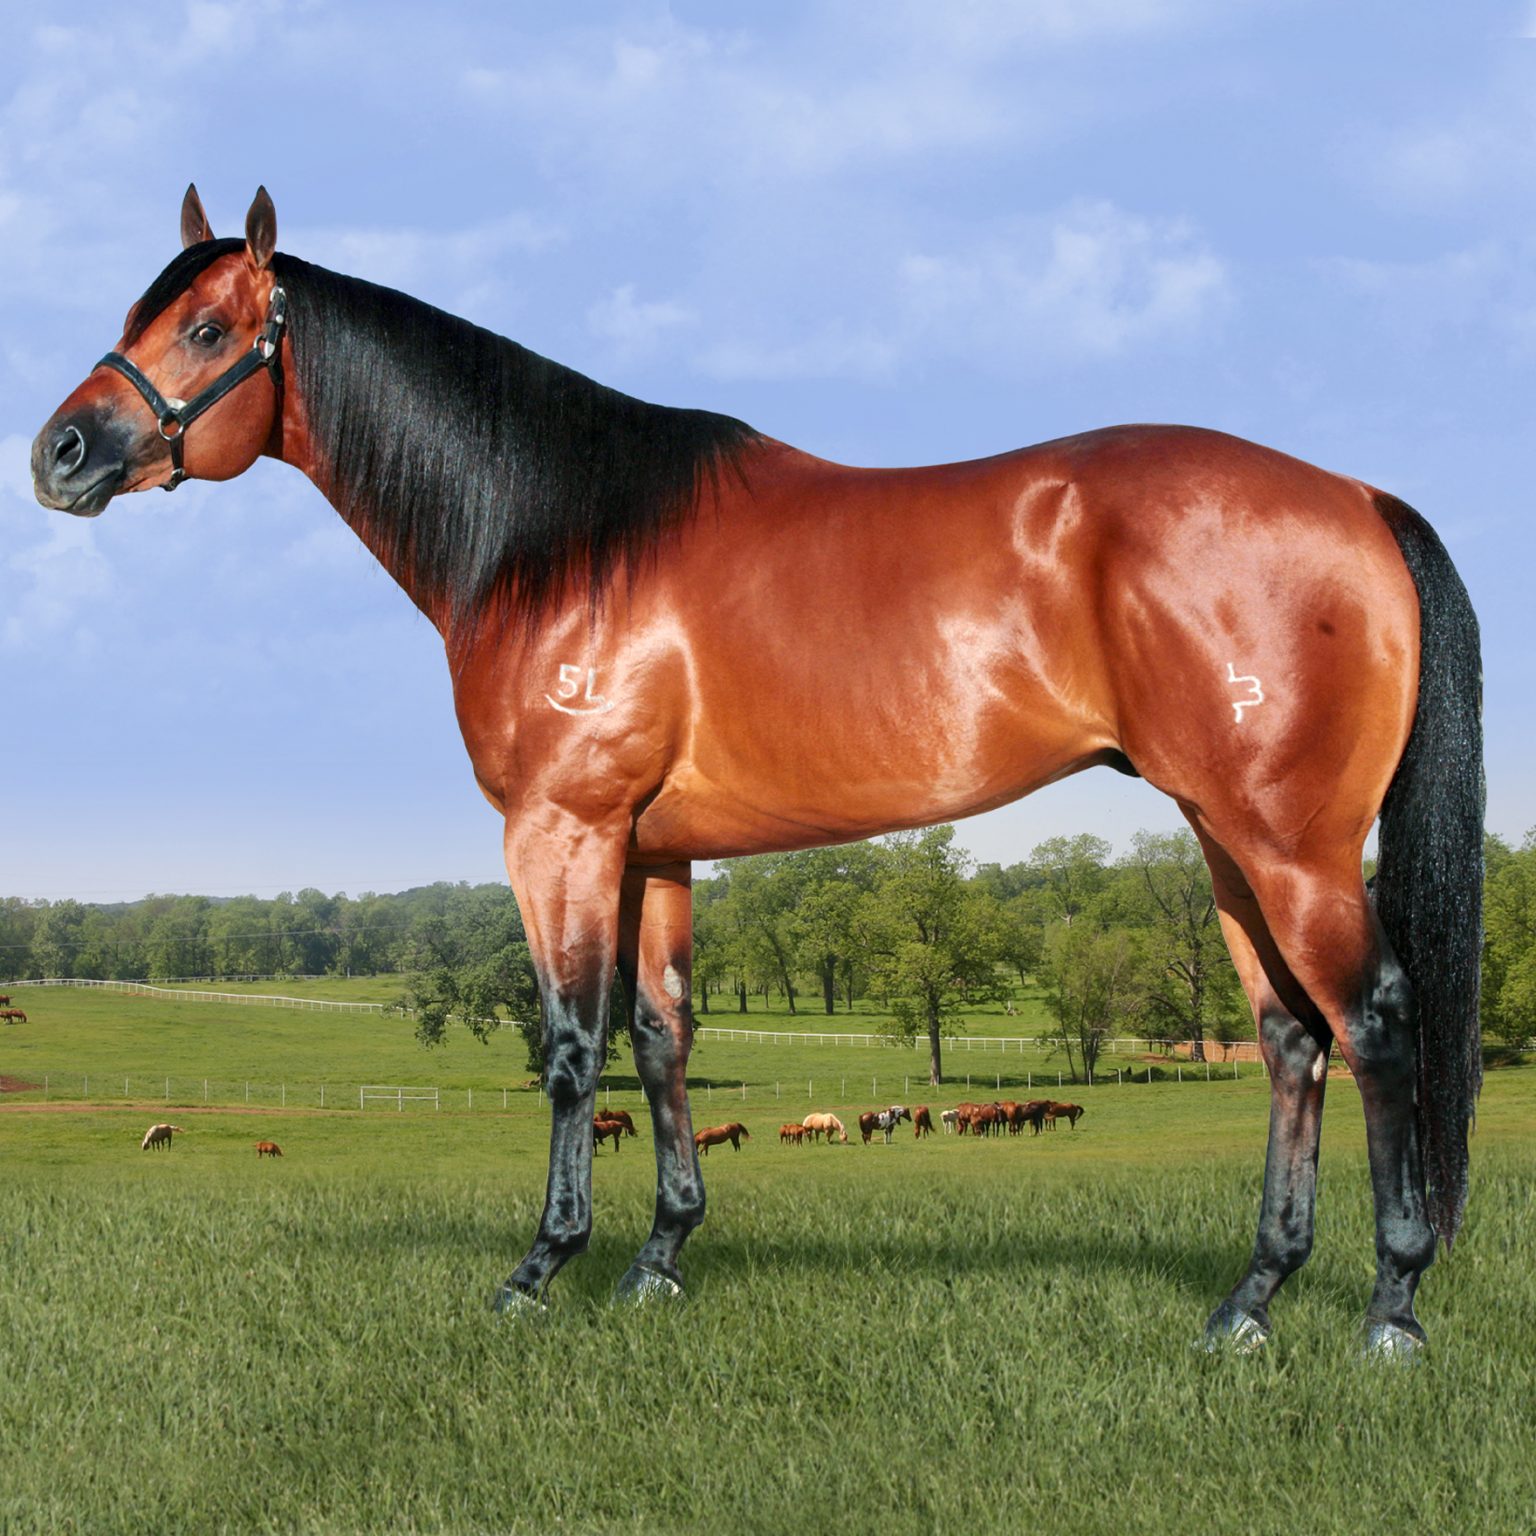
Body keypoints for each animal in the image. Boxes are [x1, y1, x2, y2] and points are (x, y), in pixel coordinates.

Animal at [31, 186, 1483, 1357]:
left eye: (207, 330)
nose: (59, 454)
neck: (564, 537)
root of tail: (1356, 498)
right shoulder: (658, 848)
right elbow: (661, 1038)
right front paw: (661, 1260)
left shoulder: (559, 829)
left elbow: (572, 1045)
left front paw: (539, 1270)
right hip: (1225, 838)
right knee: (1291, 1040)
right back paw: (1250, 1301)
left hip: (1291, 846)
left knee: (1375, 1025)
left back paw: (1391, 1308)